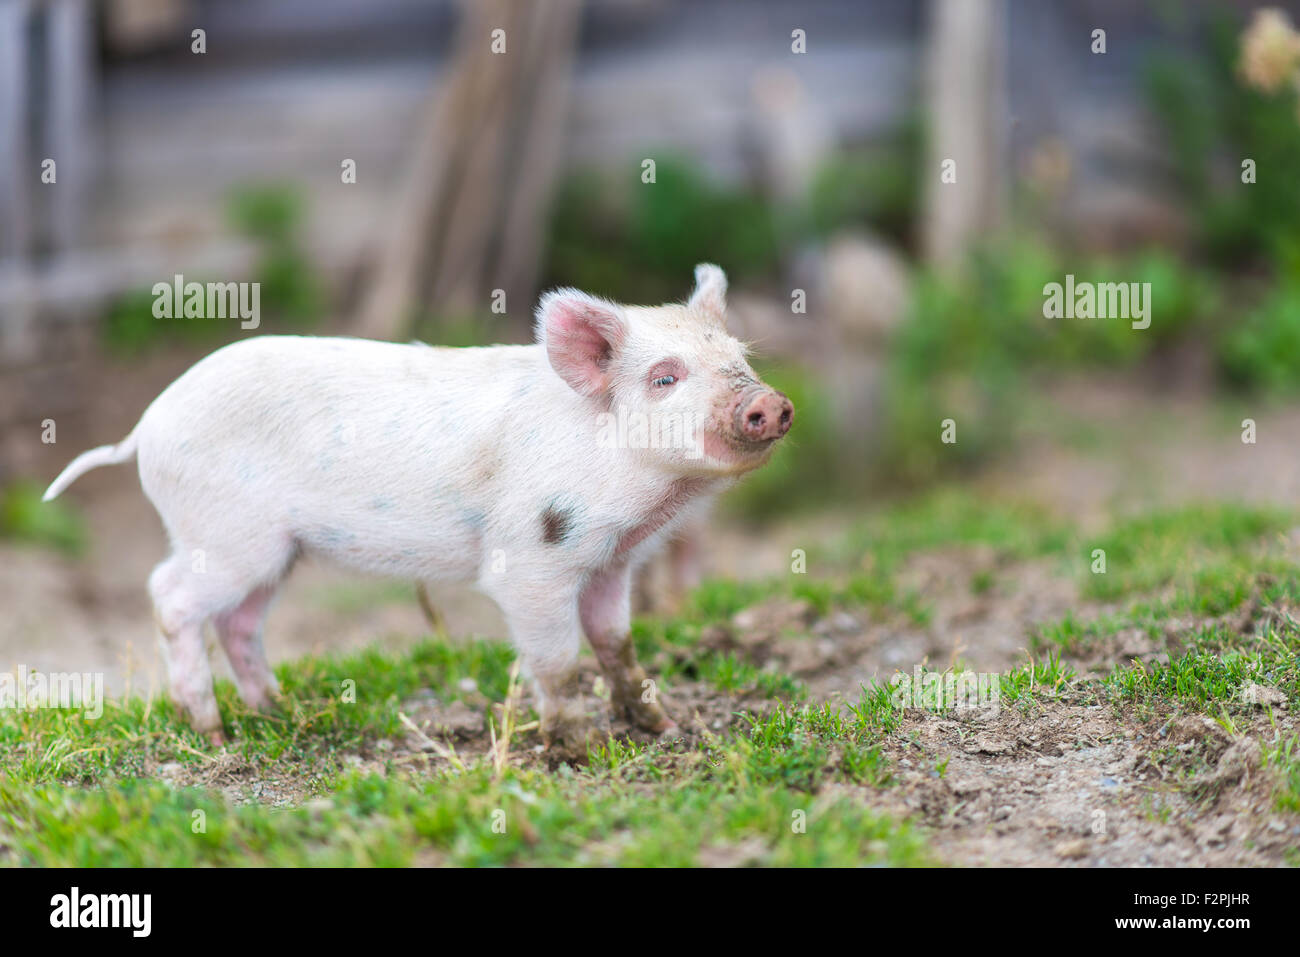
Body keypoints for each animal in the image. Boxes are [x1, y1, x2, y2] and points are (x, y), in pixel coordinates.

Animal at [43, 265, 793, 750]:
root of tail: (145, 426)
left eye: (740, 355)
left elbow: (616, 643)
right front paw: (578, 750)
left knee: (239, 622)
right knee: (168, 595)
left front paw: (663, 728)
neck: (647, 494)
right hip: (226, 537)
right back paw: (214, 731)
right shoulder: (534, 558)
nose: (768, 401)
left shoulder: (611, 562)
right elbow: (557, 659)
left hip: (275, 551)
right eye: (664, 378)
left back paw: (280, 713)